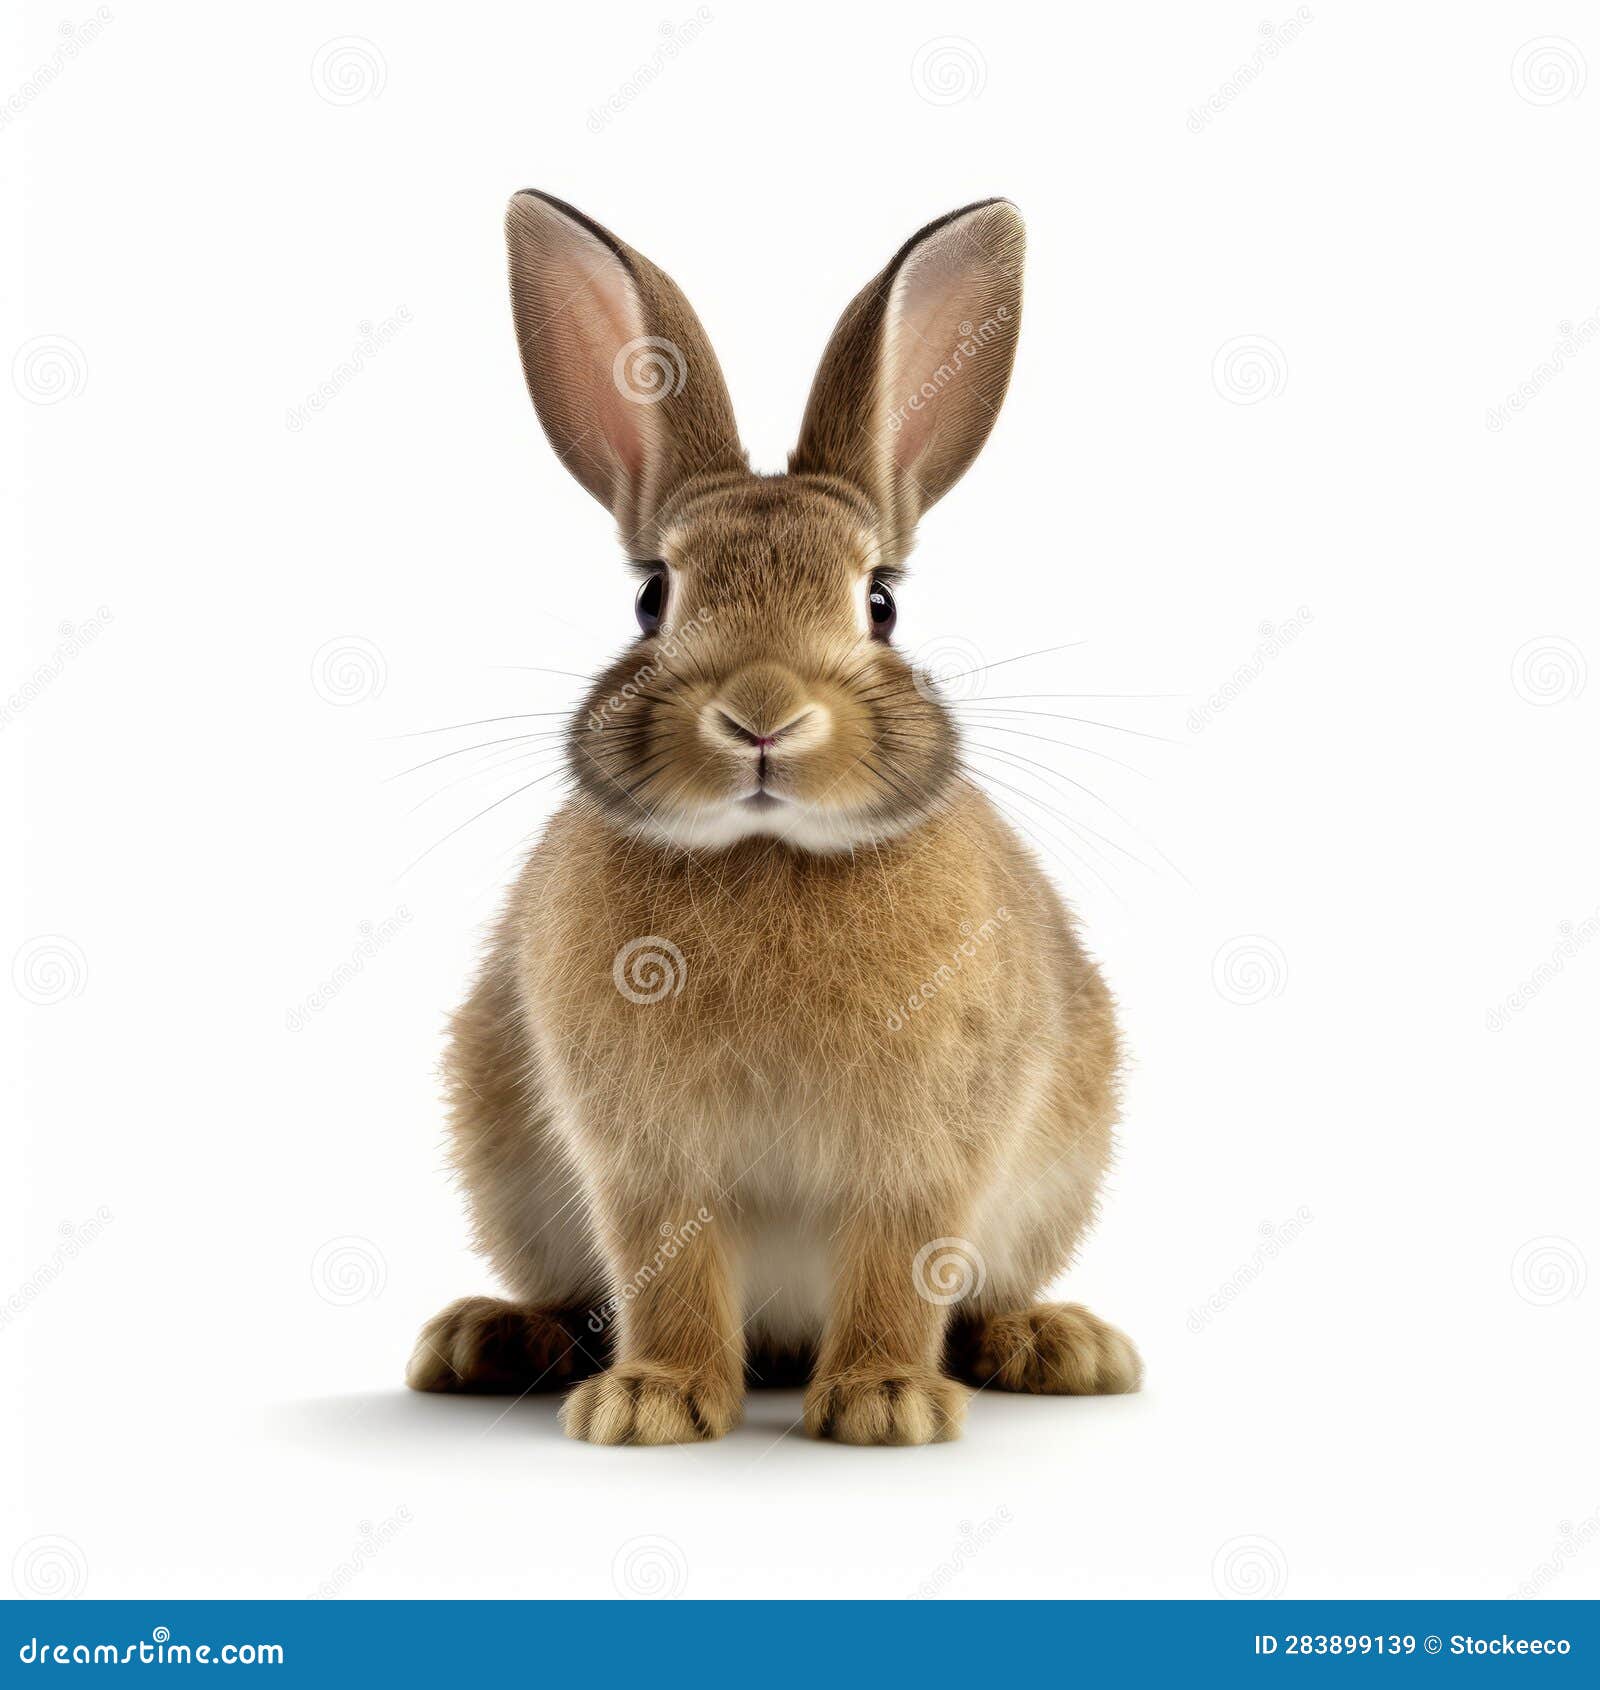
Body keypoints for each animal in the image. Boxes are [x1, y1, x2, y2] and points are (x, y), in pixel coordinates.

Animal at [405, 190, 1141, 1445]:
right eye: (652, 598)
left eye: (879, 602)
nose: (761, 715)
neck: (766, 852)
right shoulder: (643, 1154)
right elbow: (667, 1263)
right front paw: (651, 1403)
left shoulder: (927, 1149)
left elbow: (901, 1258)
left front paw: (888, 1402)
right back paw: (487, 1338)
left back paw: (1057, 1344)